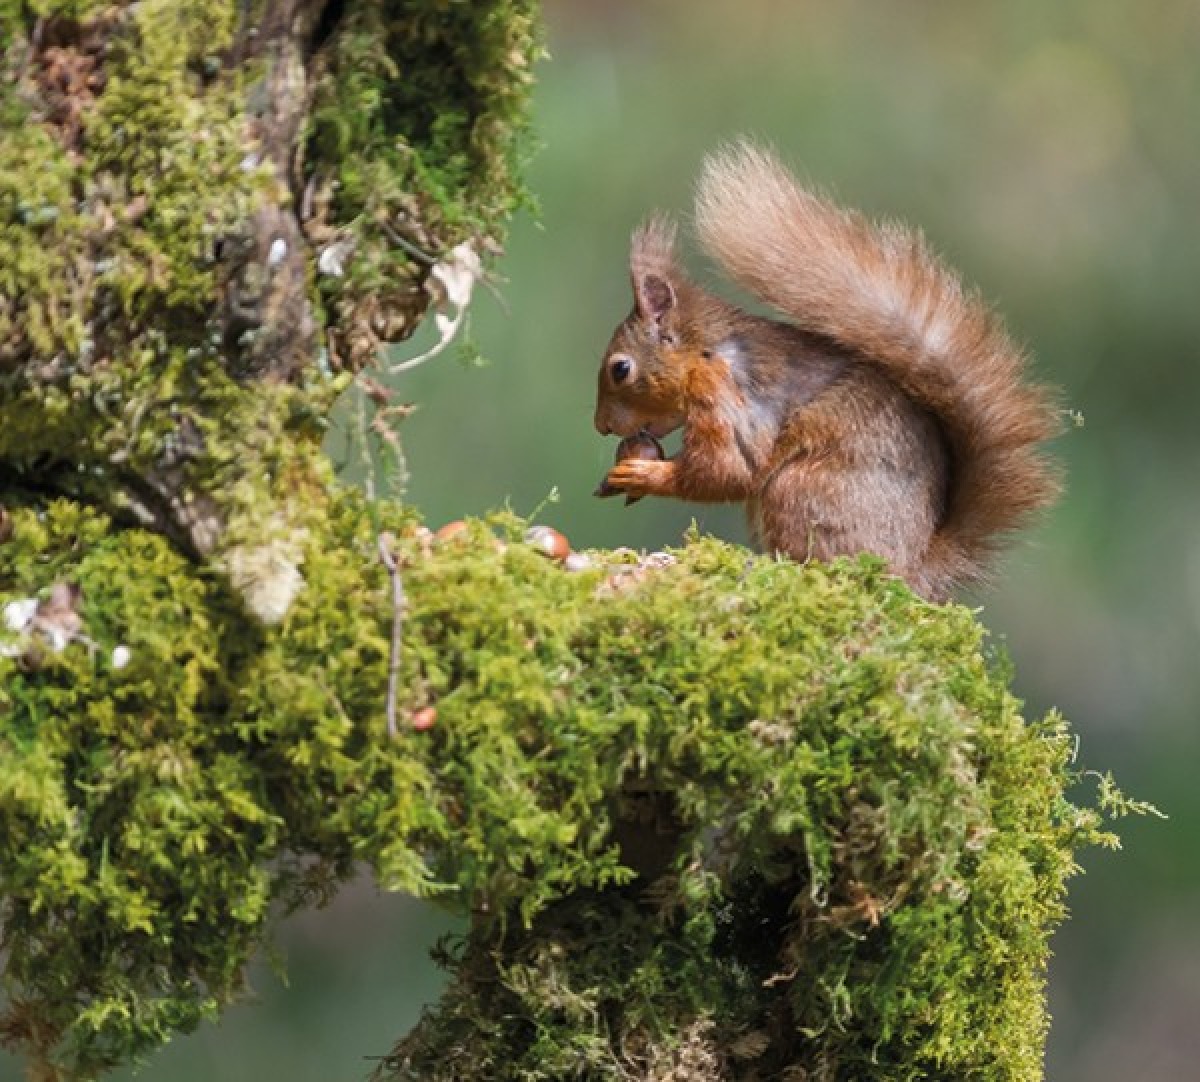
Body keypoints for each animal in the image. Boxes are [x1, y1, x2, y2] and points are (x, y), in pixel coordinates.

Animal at [593, 141, 1060, 601]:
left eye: (621, 369)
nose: (601, 427)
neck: (703, 353)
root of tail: (914, 569)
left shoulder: (723, 390)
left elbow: (726, 470)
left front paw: (643, 474)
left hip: (799, 491)